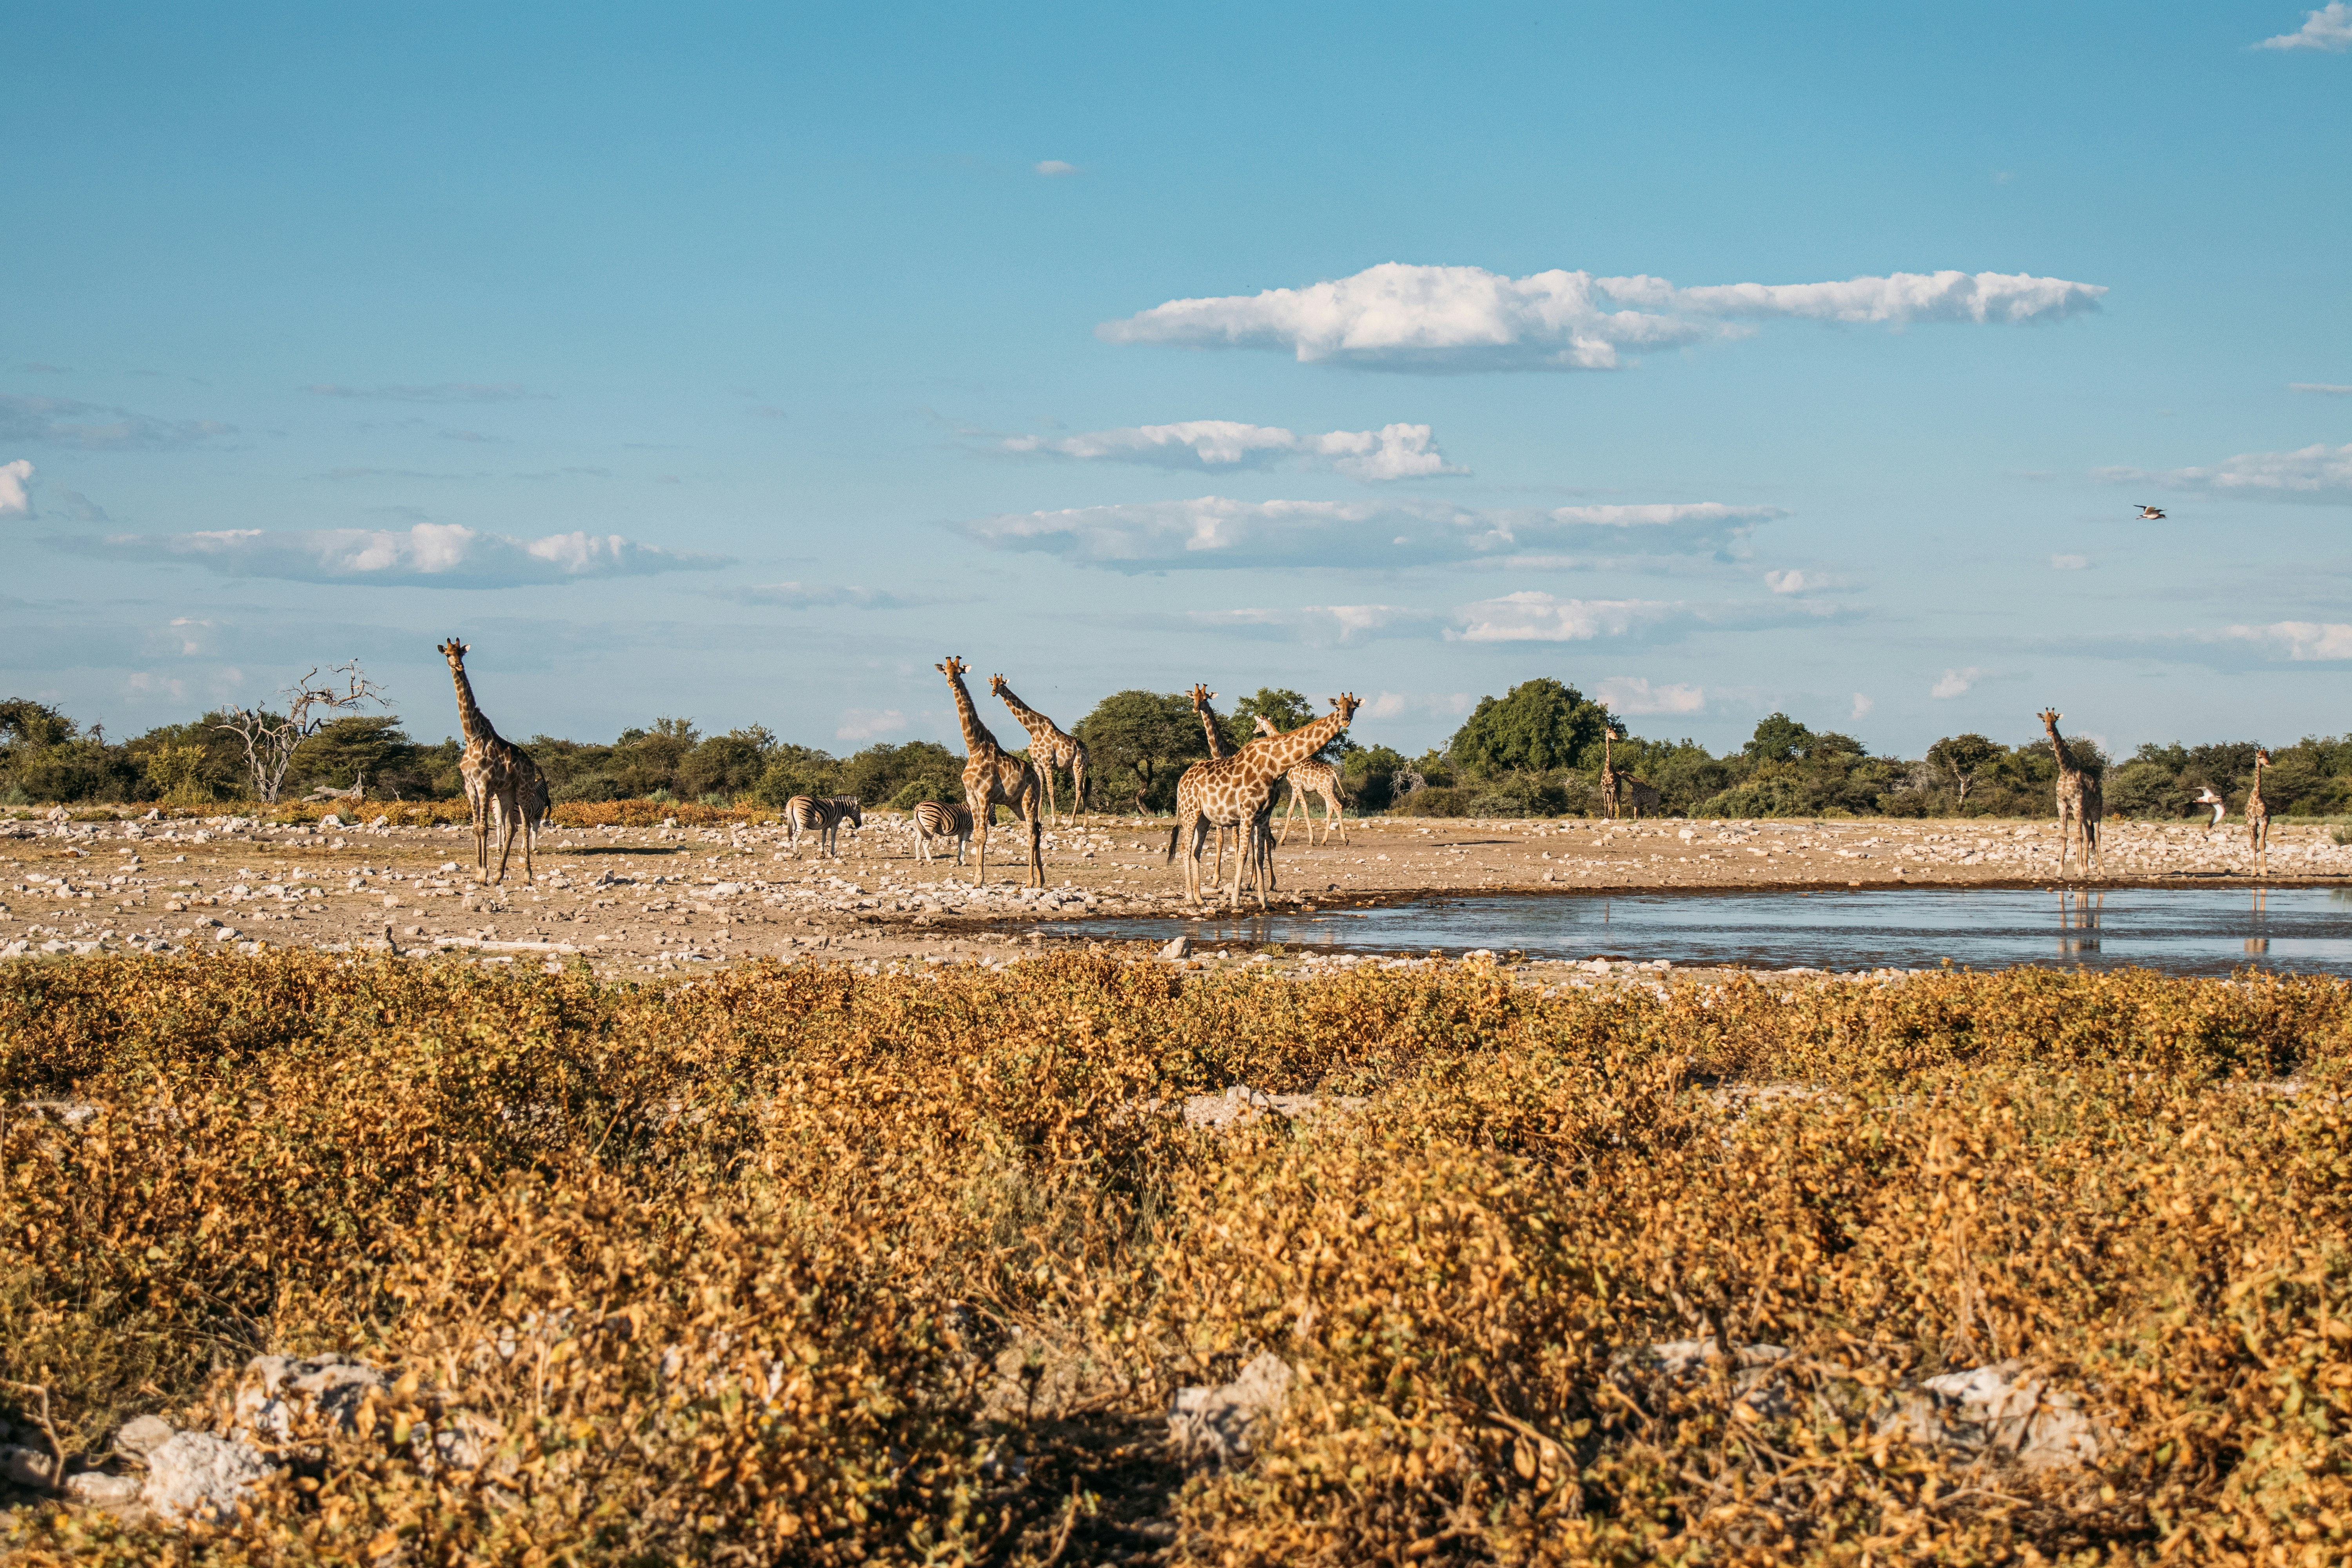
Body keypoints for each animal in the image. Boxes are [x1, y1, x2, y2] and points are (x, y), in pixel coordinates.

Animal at [437, 639, 548, 884]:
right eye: (447, 654)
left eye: (462, 653)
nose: (458, 665)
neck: (472, 737)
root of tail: (532, 765)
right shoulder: (469, 785)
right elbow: (476, 828)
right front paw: (481, 872)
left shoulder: (484, 784)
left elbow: (484, 828)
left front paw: (482, 874)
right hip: (506, 792)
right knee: (511, 827)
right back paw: (499, 875)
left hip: (523, 789)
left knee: (525, 826)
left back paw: (527, 875)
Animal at [940, 657, 1045, 889]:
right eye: (945, 671)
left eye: (959, 671)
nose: (951, 682)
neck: (974, 748)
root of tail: (1036, 778)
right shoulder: (971, 796)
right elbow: (977, 836)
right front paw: (975, 879)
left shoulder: (985, 795)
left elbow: (983, 835)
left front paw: (979, 880)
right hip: (1017, 805)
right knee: (1035, 830)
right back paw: (1041, 880)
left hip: (1030, 800)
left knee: (1032, 835)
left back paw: (1030, 882)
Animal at [988, 676, 1089, 825]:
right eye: (993, 684)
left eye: (1002, 684)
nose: (994, 692)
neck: (1033, 730)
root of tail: (1088, 752)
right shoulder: (1037, 763)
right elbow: (1040, 791)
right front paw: (1039, 819)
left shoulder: (1047, 762)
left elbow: (1051, 791)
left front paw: (1054, 820)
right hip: (1071, 768)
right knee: (1084, 788)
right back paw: (1085, 822)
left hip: (1079, 765)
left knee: (1079, 790)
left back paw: (1072, 821)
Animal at [1252, 714, 1349, 846]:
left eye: (1258, 723)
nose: (1254, 731)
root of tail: (1334, 773)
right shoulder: (1295, 787)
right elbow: (1290, 811)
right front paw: (1282, 840)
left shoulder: (1297, 785)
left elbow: (1305, 810)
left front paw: (1311, 840)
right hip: (1329, 790)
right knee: (1331, 809)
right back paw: (1324, 841)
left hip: (1324, 791)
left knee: (1337, 806)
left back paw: (1345, 839)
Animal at [2038, 709, 2103, 880]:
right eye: (2044, 720)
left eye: (2055, 720)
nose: (2049, 731)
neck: (2066, 771)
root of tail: (2098, 785)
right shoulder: (2062, 805)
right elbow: (2065, 836)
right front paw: (2060, 872)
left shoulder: (2077, 803)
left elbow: (2078, 837)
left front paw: (2080, 871)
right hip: (2083, 813)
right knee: (2088, 833)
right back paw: (2087, 868)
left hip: (2096, 809)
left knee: (2097, 834)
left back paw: (2102, 871)